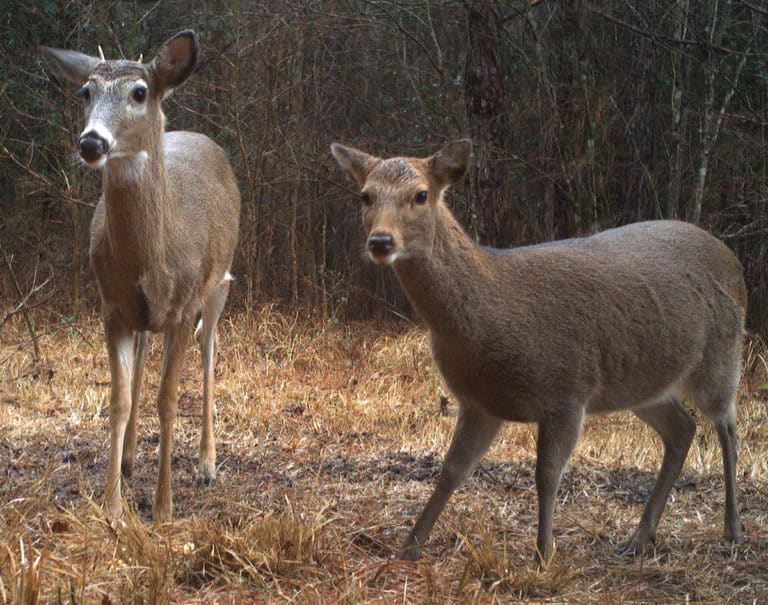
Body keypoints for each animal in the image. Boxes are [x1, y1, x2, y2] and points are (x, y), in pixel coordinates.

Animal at [44, 31, 240, 522]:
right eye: (85, 91)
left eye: (139, 92)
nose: (91, 143)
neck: (153, 255)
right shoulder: (112, 308)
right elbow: (119, 399)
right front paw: (112, 505)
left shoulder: (183, 305)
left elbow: (167, 401)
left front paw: (164, 506)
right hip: (144, 313)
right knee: (144, 355)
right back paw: (131, 458)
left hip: (220, 281)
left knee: (210, 349)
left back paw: (207, 463)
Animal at [331, 139, 745, 564]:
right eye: (366, 195)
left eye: (421, 195)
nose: (381, 242)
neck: (491, 317)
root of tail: (733, 260)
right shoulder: (479, 403)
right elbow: (452, 471)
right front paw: (409, 547)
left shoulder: (567, 391)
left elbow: (546, 474)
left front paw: (544, 554)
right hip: (641, 384)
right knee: (683, 429)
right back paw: (638, 538)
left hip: (721, 354)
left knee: (728, 427)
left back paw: (731, 530)